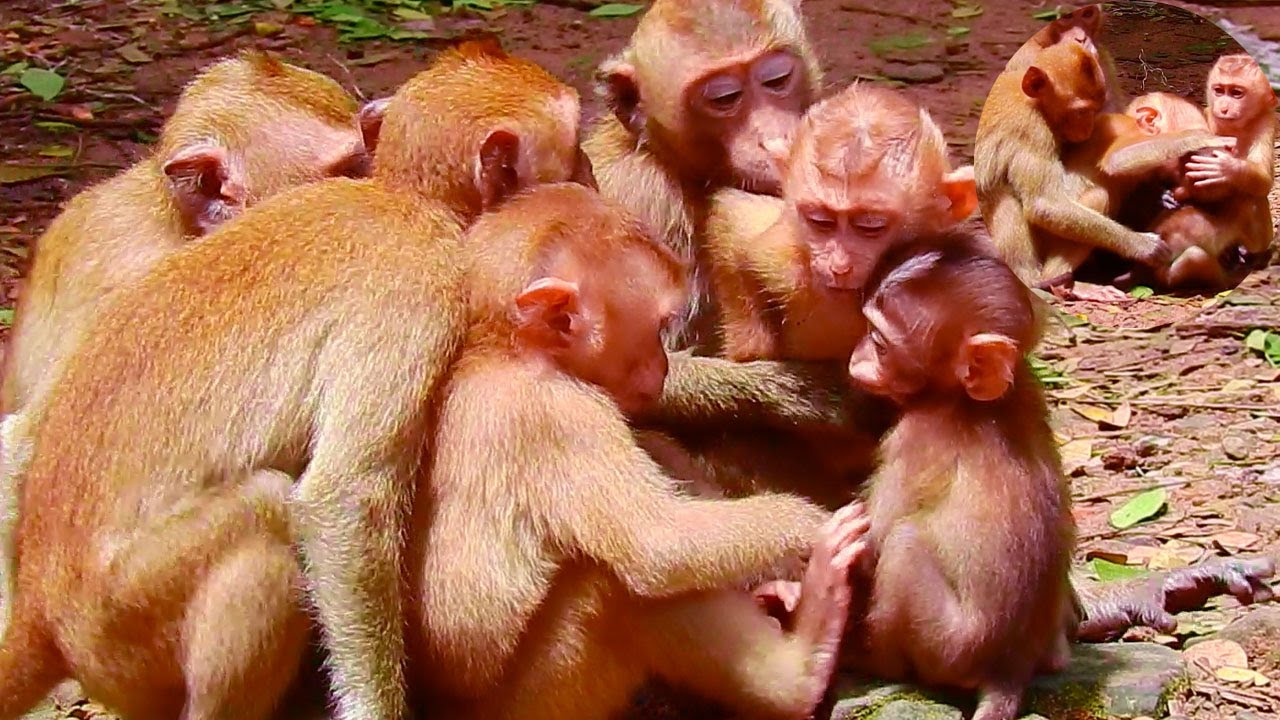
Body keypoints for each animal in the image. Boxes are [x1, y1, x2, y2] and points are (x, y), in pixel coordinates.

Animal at [403, 181, 871, 720]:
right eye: (658, 326)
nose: (664, 363)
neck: (506, 350)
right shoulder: (564, 416)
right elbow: (658, 546)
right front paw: (805, 524)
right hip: (546, 695)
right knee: (615, 589)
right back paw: (800, 671)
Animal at [842, 236, 1075, 720]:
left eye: (880, 343)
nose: (857, 356)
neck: (967, 399)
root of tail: (1009, 669)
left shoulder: (916, 437)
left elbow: (873, 545)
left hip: (948, 648)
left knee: (905, 544)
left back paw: (876, 661)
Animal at [975, 39, 1173, 291]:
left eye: (1095, 108)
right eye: (1081, 112)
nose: (1088, 127)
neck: (1034, 101)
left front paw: (1156, 194)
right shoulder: (1030, 128)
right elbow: (1045, 204)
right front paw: (1141, 245)